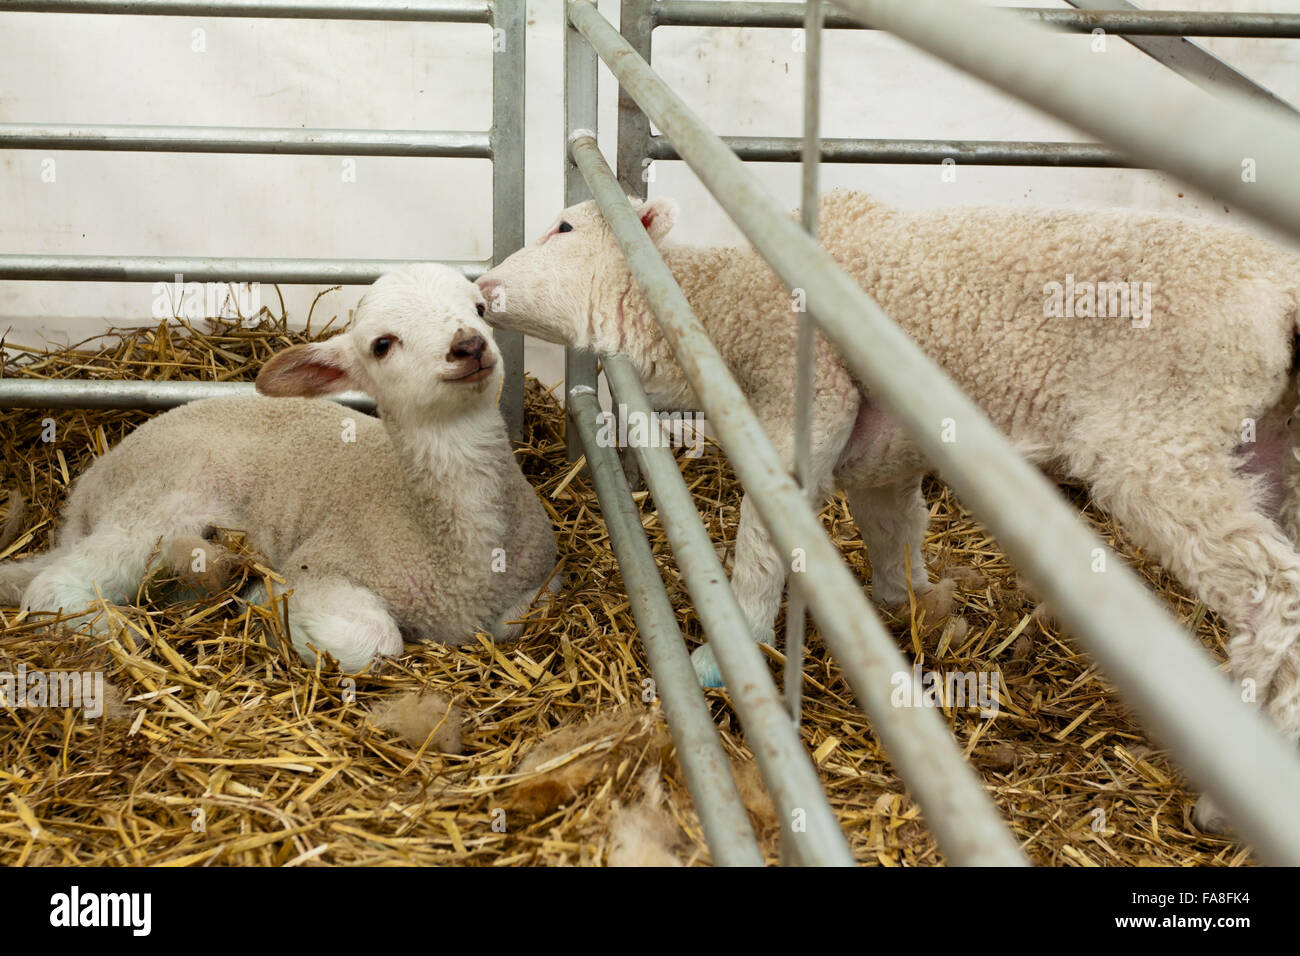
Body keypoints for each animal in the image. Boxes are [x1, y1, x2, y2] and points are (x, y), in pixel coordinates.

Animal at [0, 264, 557, 672]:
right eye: (382, 344)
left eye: (480, 309)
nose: (469, 345)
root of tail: (88, 485)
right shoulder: (324, 565)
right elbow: (376, 641)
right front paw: (262, 608)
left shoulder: (542, 578)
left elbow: (520, 619)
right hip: (152, 507)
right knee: (50, 587)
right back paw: (120, 629)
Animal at [477, 190, 1300, 829]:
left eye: (563, 228)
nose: (481, 286)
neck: (720, 303)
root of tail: (1281, 286)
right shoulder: (880, 459)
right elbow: (893, 533)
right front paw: (912, 614)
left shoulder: (802, 404)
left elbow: (762, 542)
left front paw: (731, 647)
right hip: (1268, 446)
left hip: (1162, 435)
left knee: (1275, 594)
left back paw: (1236, 789)